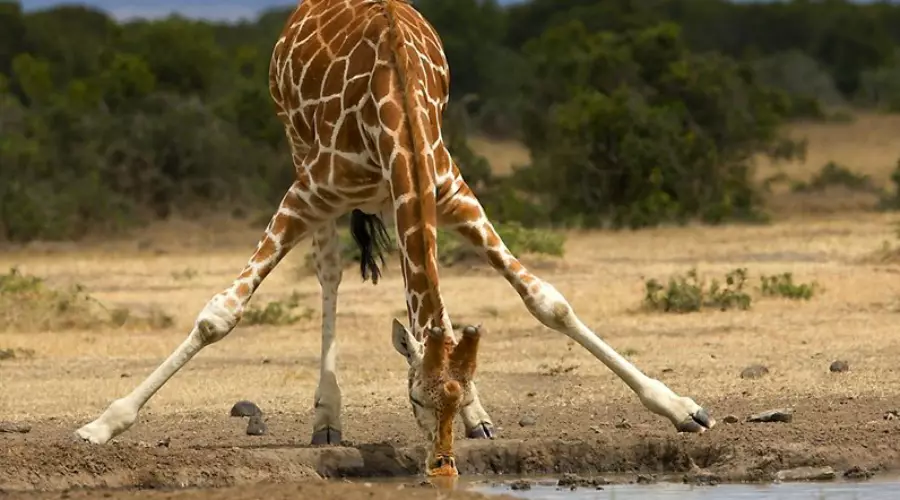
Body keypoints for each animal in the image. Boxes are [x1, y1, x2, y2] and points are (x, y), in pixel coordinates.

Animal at [74, 0, 712, 476]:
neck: (395, 98)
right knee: (329, 272)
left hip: (397, 198)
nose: (443, 466)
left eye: (449, 397)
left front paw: (684, 409)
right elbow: (218, 316)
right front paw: (100, 425)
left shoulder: (453, 192)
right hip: (300, 154)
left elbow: (547, 302)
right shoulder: (307, 192)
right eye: (413, 401)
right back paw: (326, 419)